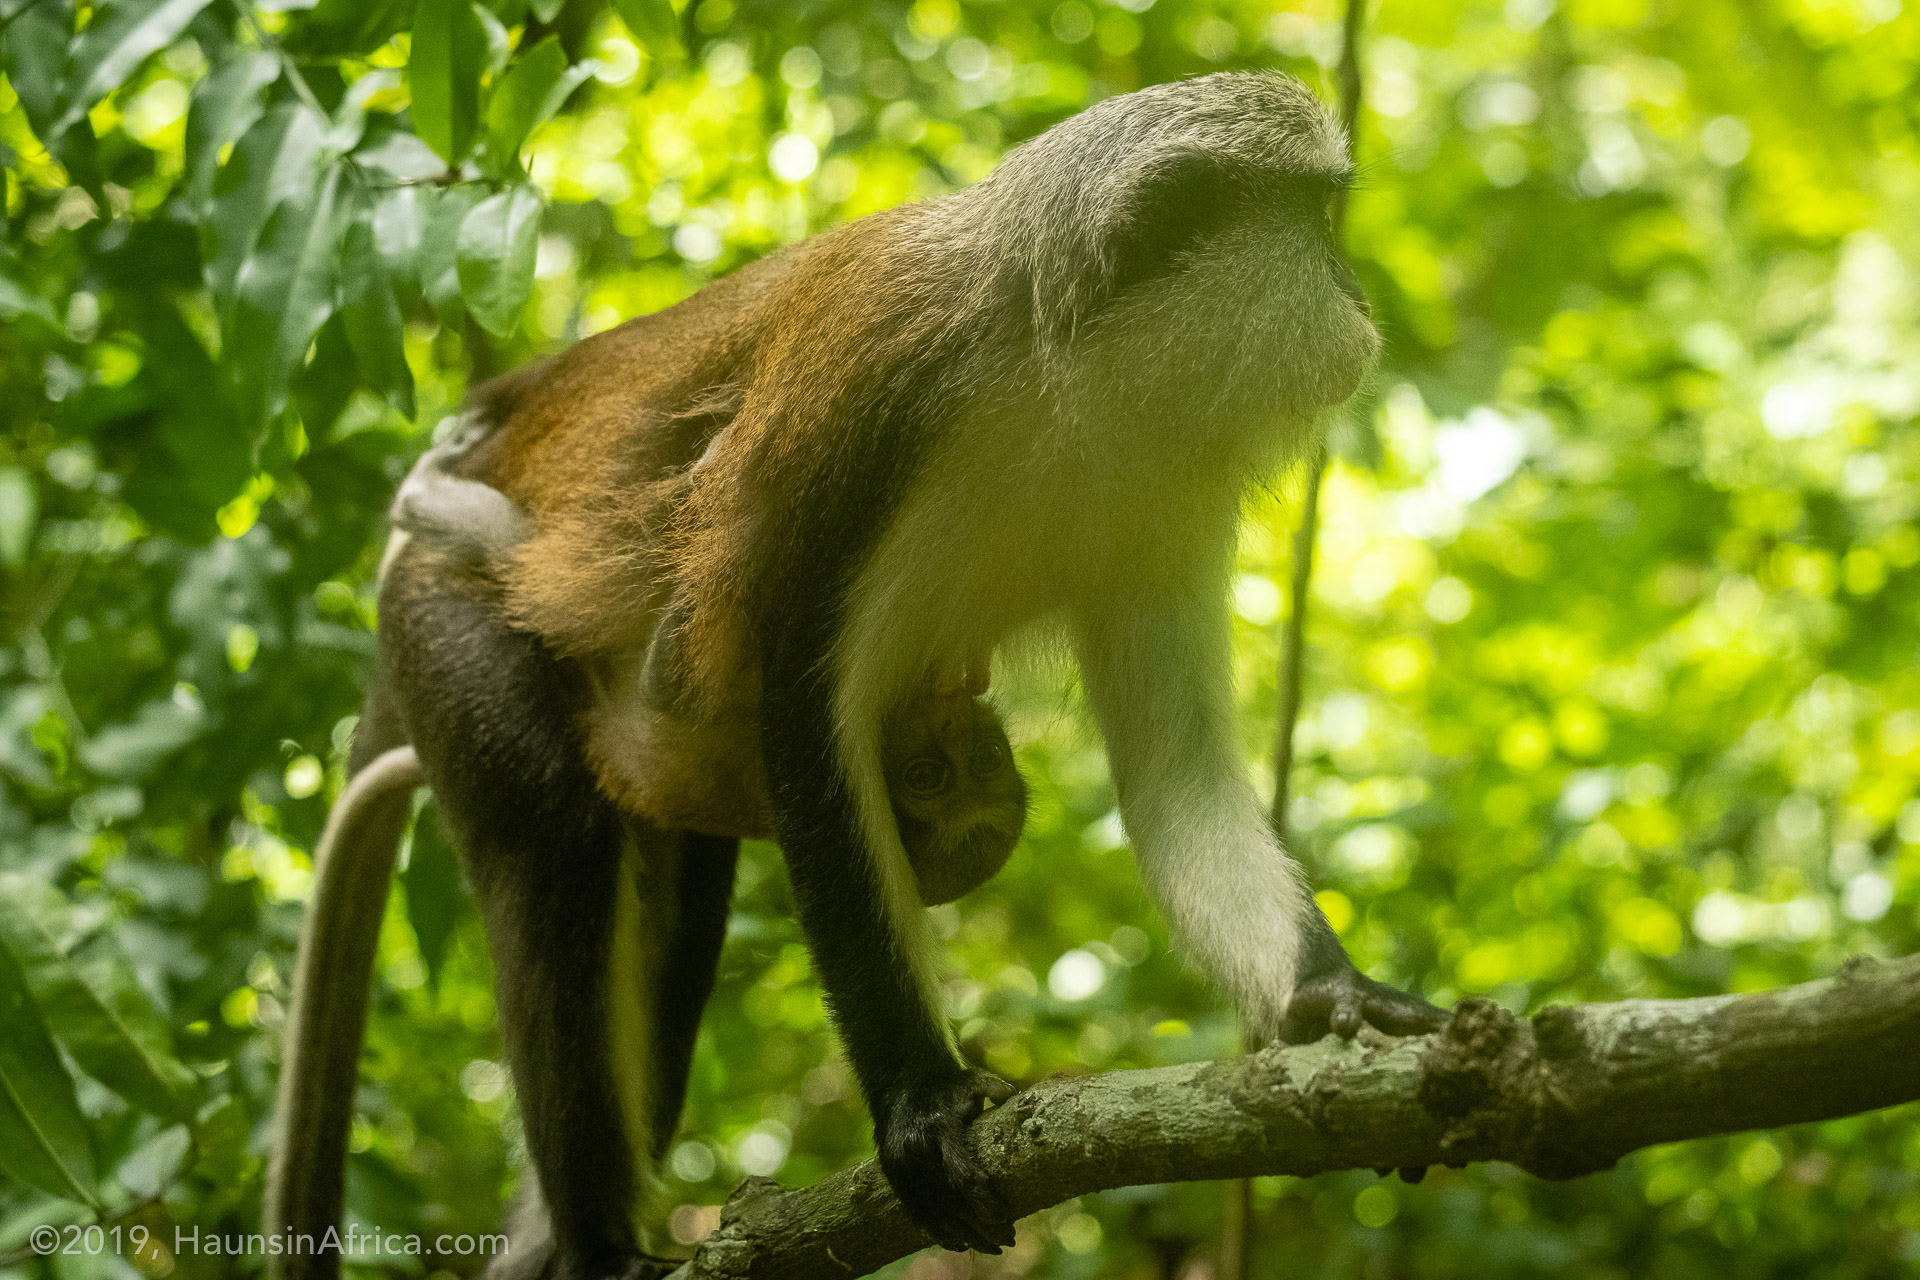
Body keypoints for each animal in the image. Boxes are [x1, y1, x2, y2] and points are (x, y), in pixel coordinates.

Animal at [269, 70, 1446, 1280]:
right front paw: (921, 1104)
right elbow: (796, 716)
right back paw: (599, 1244)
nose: (1357, 297)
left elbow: (1178, 780)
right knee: (556, 835)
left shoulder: (1166, 503)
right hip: (438, 613)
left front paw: (1336, 998)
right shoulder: (871, 415)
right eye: (1319, 224)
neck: (1065, 378)